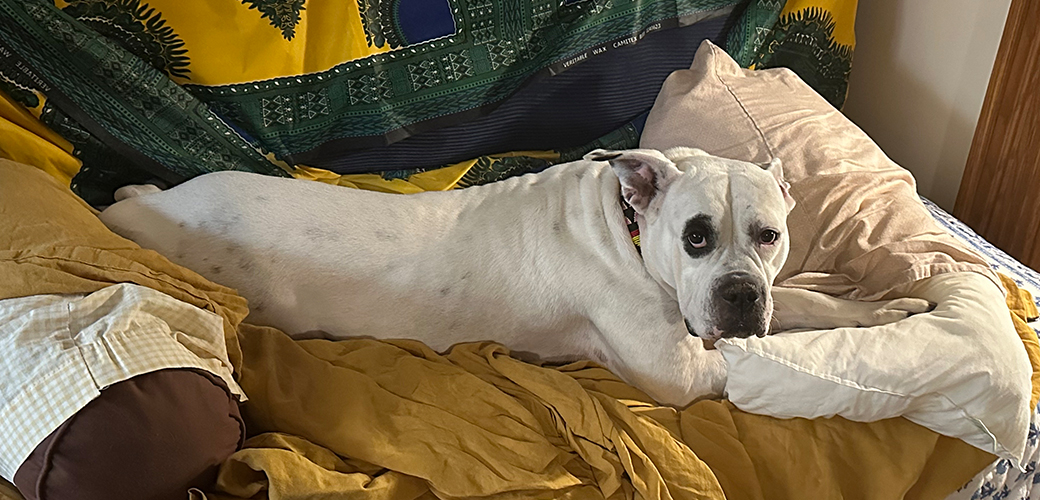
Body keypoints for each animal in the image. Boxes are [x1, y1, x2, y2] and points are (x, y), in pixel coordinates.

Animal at [99, 147, 927, 405]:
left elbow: (802, 307)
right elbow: (775, 354)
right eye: (696, 237)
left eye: (769, 235)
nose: (738, 293)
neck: (628, 228)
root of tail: (137, 210)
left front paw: (878, 310)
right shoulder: (683, 371)